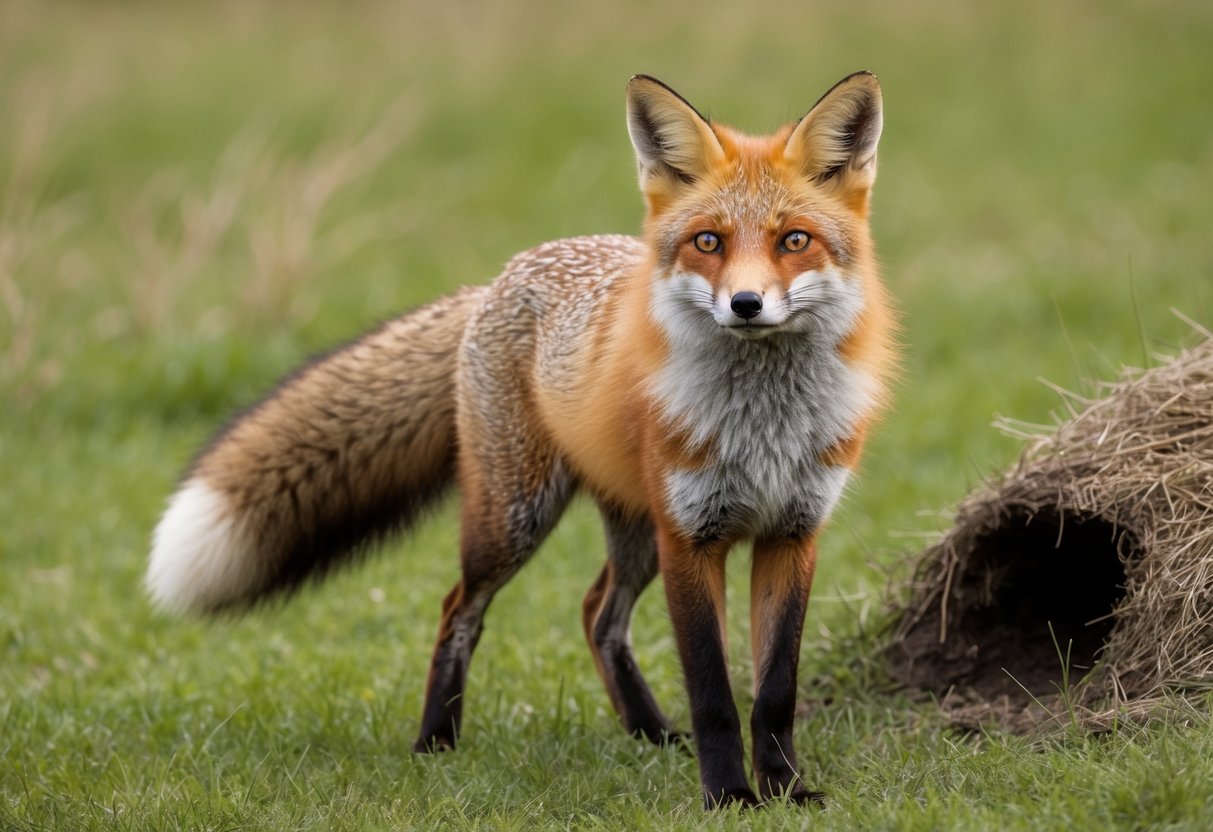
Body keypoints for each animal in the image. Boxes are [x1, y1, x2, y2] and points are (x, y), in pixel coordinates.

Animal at [147, 71, 894, 808]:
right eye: (708, 242)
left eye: (793, 240)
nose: (745, 305)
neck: (763, 427)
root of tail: (499, 278)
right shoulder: (692, 539)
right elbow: (712, 693)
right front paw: (729, 796)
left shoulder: (791, 535)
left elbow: (774, 693)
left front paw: (786, 787)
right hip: (517, 517)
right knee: (460, 608)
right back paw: (436, 740)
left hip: (635, 530)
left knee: (598, 614)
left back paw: (650, 733)